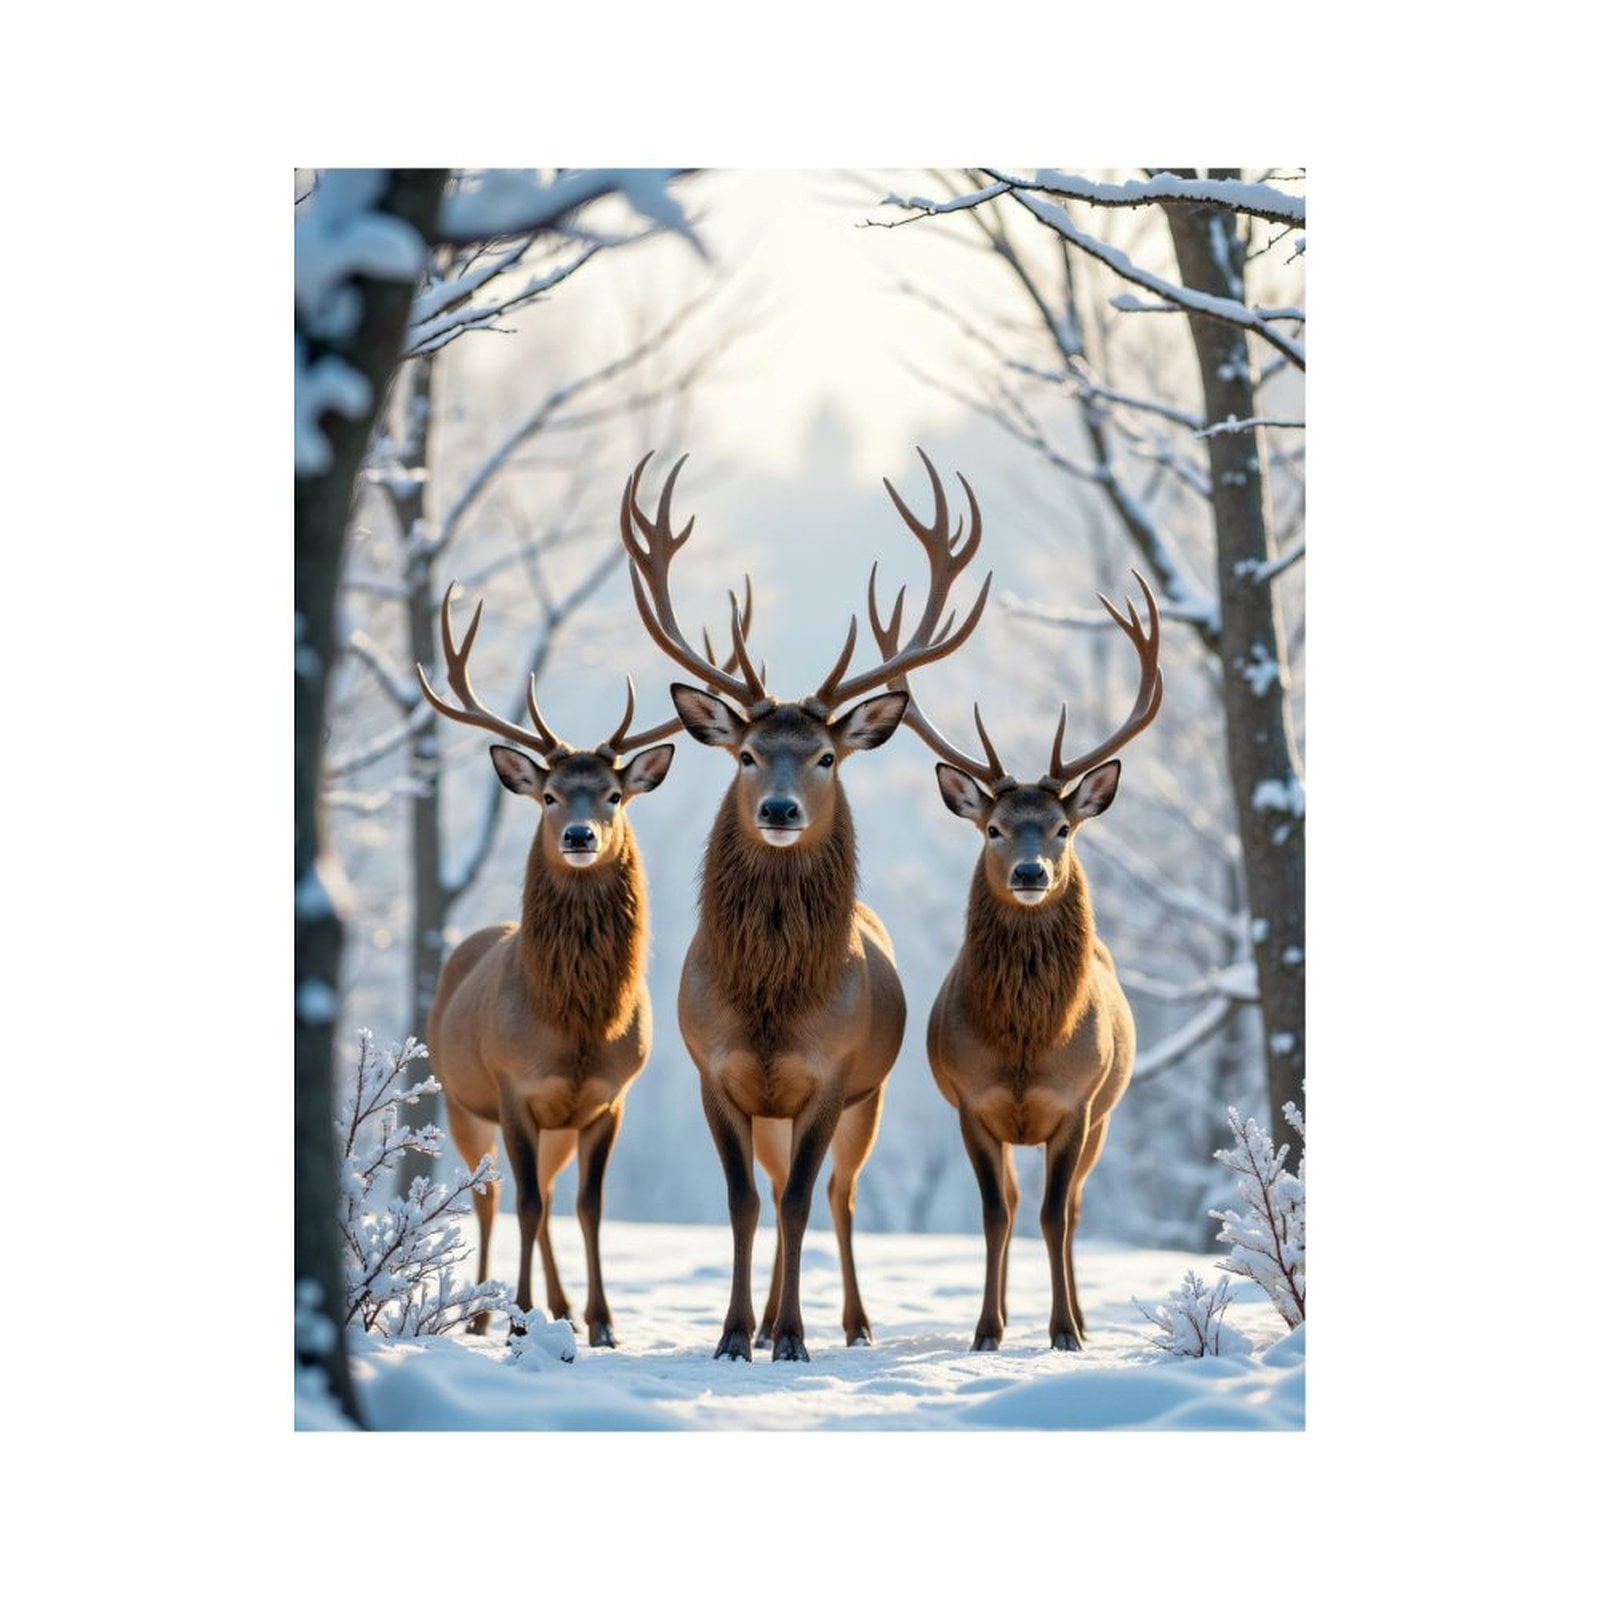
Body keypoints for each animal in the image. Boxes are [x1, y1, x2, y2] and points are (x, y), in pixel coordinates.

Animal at [415, 580, 749, 1345]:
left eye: (615, 794)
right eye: (548, 794)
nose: (577, 834)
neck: (573, 1026)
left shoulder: (607, 1097)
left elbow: (589, 1206)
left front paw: (601, 1323)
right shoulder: (512, 1088)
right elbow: (525, 1205)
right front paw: (516, 1323)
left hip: (552, 1126)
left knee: (546, 1189)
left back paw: (558, 1308)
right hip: (460, 1099)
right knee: (495, 1196)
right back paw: (487, 1313)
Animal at [619, 446, 991, 1362]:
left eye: (825, 756)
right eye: (747, 754)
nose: (781, 811)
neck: (770, 1003)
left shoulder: (830, 1077)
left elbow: (794, 1205)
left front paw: (789, 1337)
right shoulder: (714, 1073)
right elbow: (744, 1202)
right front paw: (731, 1335)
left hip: (867, 1102)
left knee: (834, 1196)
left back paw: (851, 1324)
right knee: (784, 1188)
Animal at [876, 572, 1163, 1352]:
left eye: (1063, 827)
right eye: (995, 828)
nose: (1032, 872)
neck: (1027, 1046)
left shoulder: (1078, 1104)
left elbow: (1051, 1214)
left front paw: (1065, 1332)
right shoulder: (972, 1104)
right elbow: (995, 1213)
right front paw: (986, 1330)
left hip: (1106, 1118)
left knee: (1075, 1210)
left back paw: (1083, 1318)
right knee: (1011, 1202)